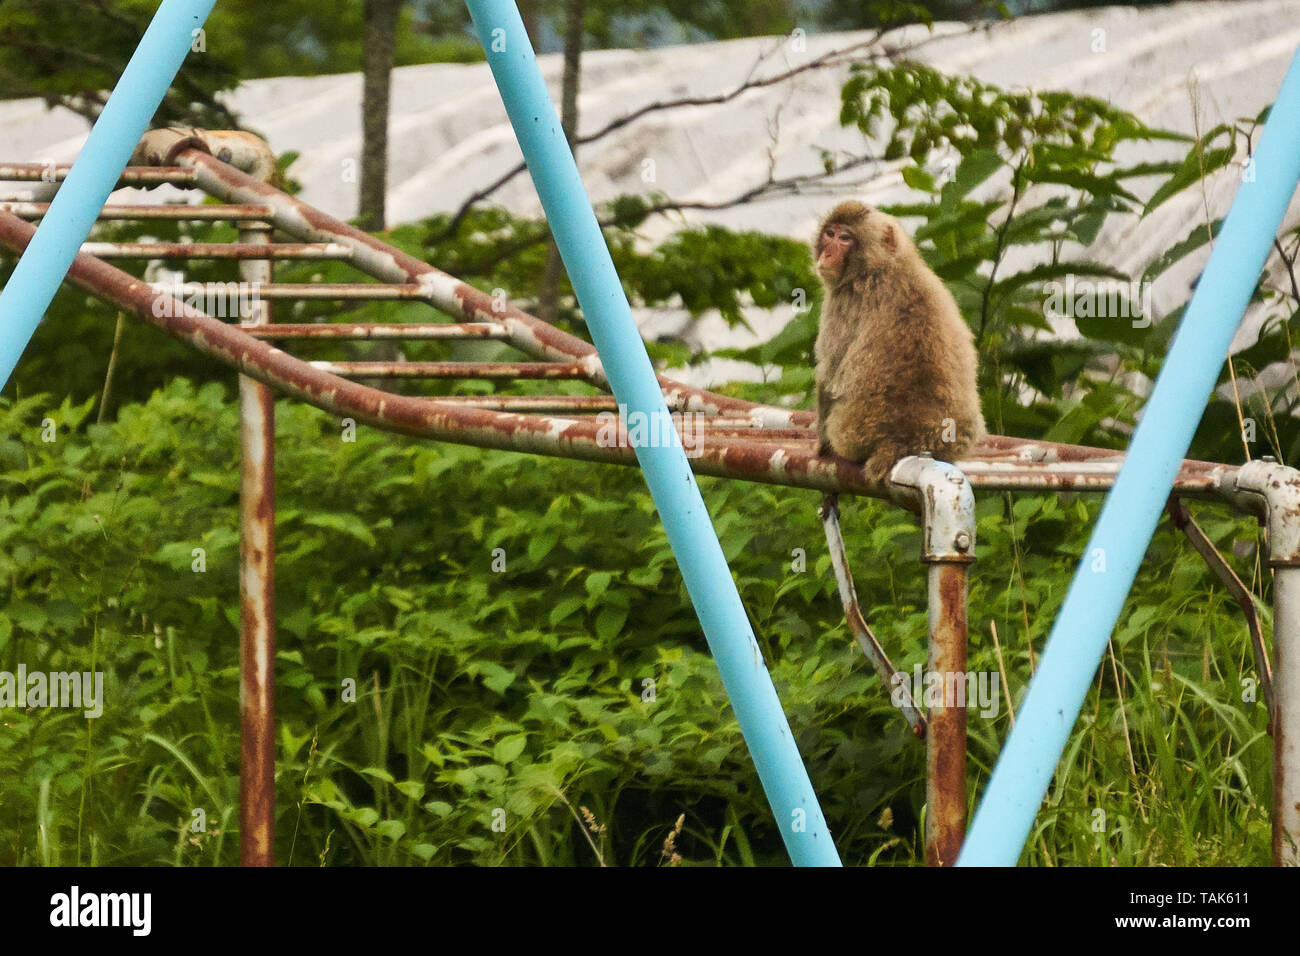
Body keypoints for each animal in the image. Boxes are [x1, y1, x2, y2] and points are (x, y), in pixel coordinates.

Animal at [812, 200, 985, 485]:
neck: (883, 265)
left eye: (845, 238)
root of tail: (901, 441)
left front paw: (821, 447)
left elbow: (829, 380)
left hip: (849, 434)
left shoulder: (842, 300)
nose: (827, 254)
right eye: (830, 233)